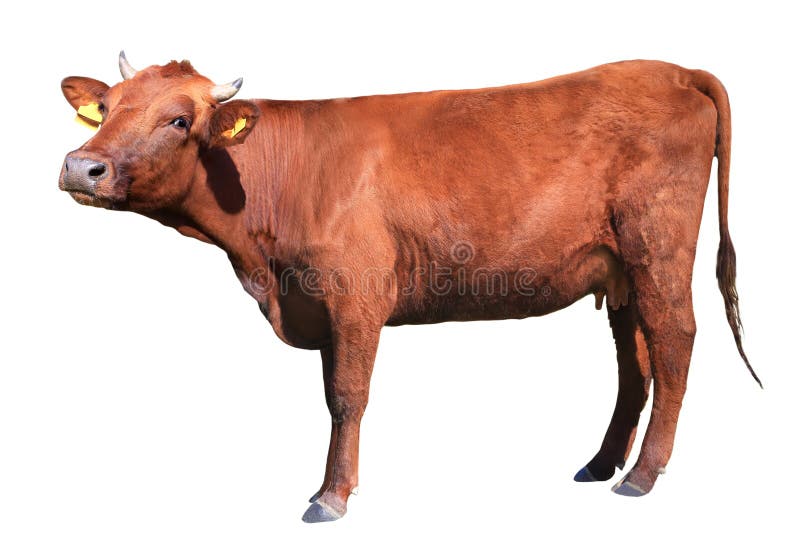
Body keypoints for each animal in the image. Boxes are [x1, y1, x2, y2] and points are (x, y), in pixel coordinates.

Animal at [58, 52, 759, 522]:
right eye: (107, 107)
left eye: (179, 119)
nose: (81, 166)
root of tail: (675, 69)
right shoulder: (316, 306)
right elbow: (330, 393)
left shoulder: (355, 295)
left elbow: (346, 398)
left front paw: (331, 496)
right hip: (618, 270)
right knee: (634, 361)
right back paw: (603, 462)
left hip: (657, 247)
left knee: (674, 341)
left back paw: (642, 474)